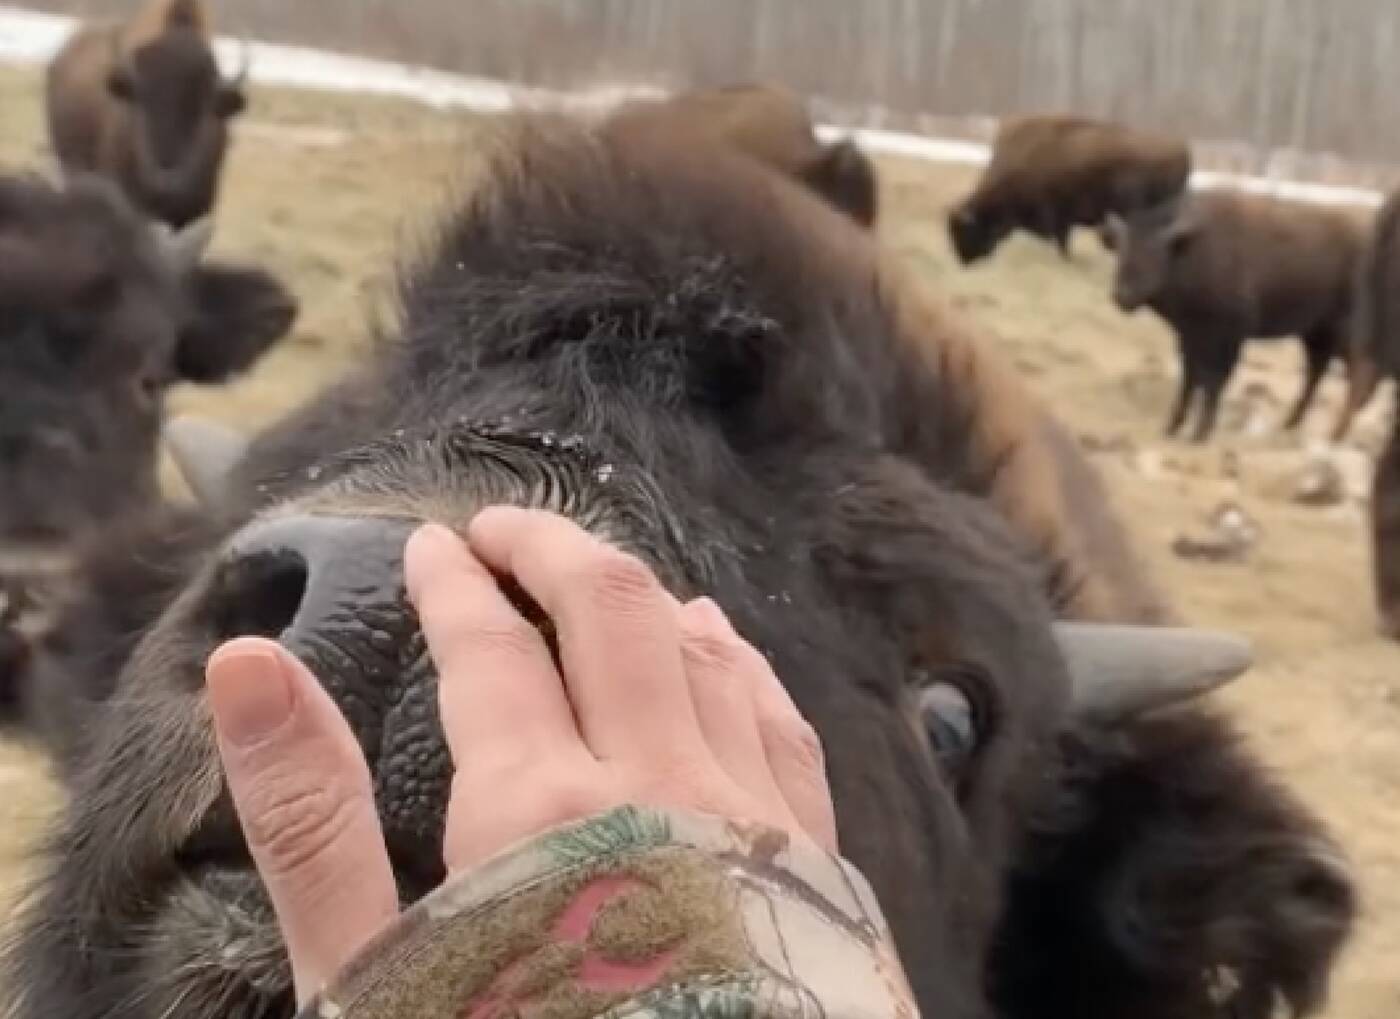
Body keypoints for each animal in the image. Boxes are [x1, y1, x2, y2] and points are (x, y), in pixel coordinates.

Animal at [1109, 190, 1374, 443]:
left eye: (1154, 251)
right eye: (1122, 249)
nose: (1122, 296)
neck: (1190, 248)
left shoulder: (1227, 339)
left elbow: (1213, 381)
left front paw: (1200, 432)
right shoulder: (1190, 337)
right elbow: (1189, 380)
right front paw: (1173, 426)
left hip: (1344, 334)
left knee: (1357, 376)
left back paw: (1335, 434)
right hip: (1315, 334)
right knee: (1316, 374)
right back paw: (1290, 424)